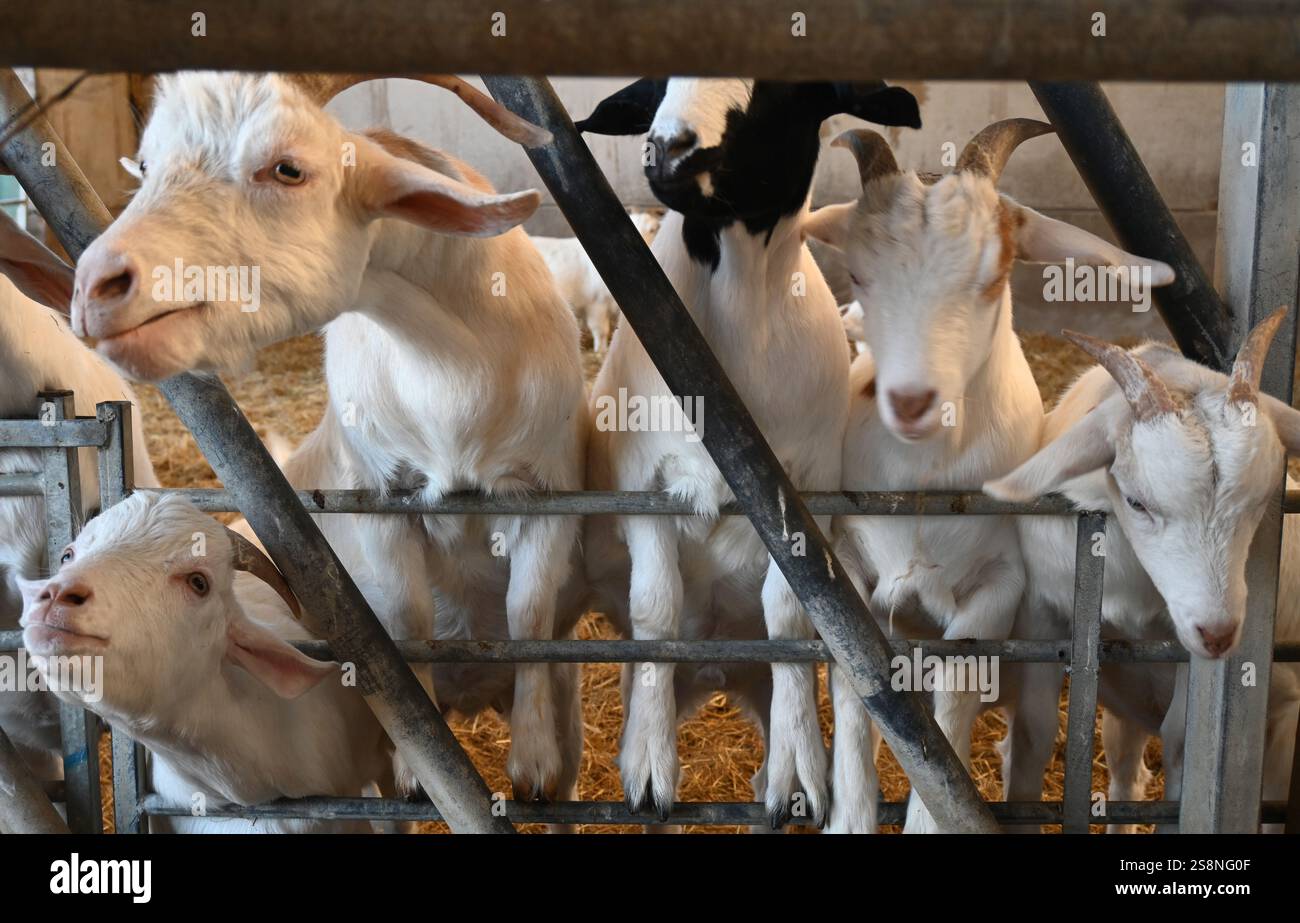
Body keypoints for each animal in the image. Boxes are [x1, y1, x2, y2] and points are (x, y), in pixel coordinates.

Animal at [71, 73, 588, 802]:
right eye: (145, 167)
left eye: (288, 169)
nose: (95, 288)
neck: (452, 374)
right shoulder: (377, 496)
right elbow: (407, 615)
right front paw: (418, 769)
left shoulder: (547, 493)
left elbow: (530, 612)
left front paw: (534, 763)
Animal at [576, 78, 920, 826]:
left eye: (788, 88)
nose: (665, 146)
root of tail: (716, 669)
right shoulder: (643, 484)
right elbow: (655, 607)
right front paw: (649, 765)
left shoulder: (803, 490)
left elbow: (790, 614)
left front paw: (800, 768)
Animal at [804, 121, 1174, 832]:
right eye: (858, 274)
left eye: (995, 276)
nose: (911, 402)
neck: (926, 482)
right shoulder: (849, 563)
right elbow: (860, 685)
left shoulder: (1001, 587)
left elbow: (951, 699)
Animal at [984, 313, 1300, 832]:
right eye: (1136, 502)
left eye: (1262, 500)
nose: (1218, 633)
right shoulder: (1041, 616)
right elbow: (1033, 735)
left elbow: (1181, 746)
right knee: (1126, 776)